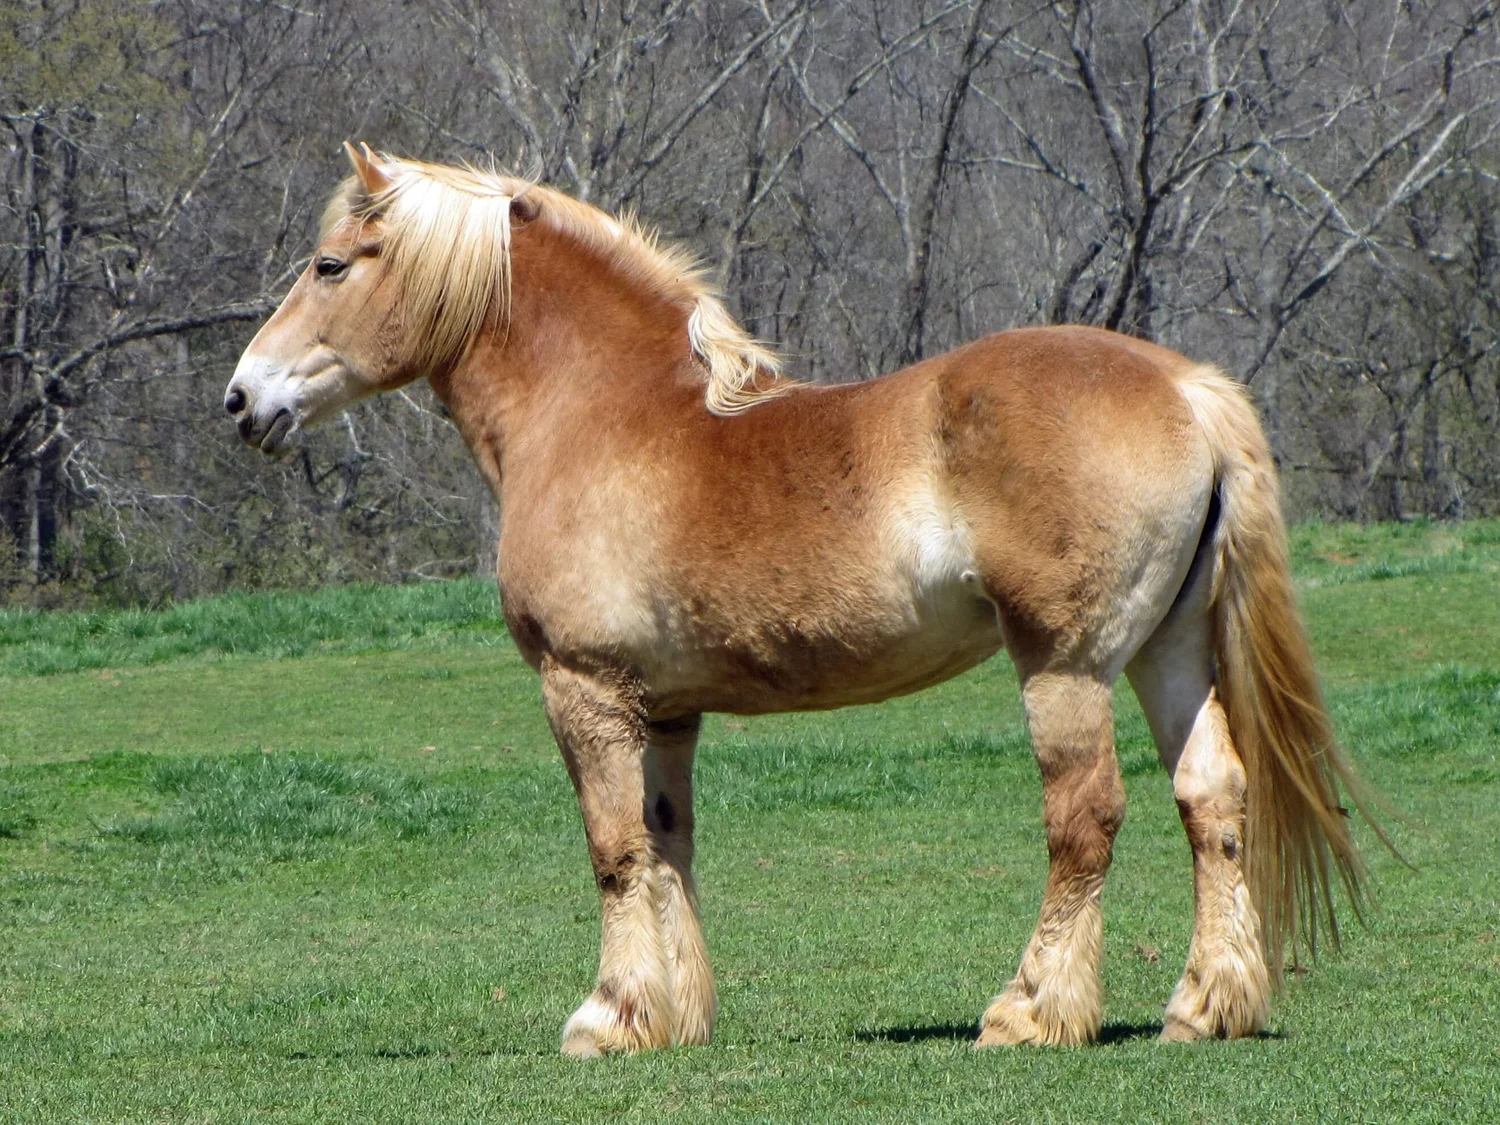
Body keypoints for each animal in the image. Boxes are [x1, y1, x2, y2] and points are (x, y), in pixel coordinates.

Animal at [225, 143, 1376, 1056]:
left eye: (330, 265)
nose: (242, 399)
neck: (604, 412)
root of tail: (1187, 387)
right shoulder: (665, 710)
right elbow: (667, 843)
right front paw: (674, 1017)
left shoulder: (583, 690)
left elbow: (613, 850)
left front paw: (608, 1017)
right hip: (1166, 653)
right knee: (1211, 800)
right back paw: (1205, 1005)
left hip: (1068, 665)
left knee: (1083, 820)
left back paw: (1031, 1010)